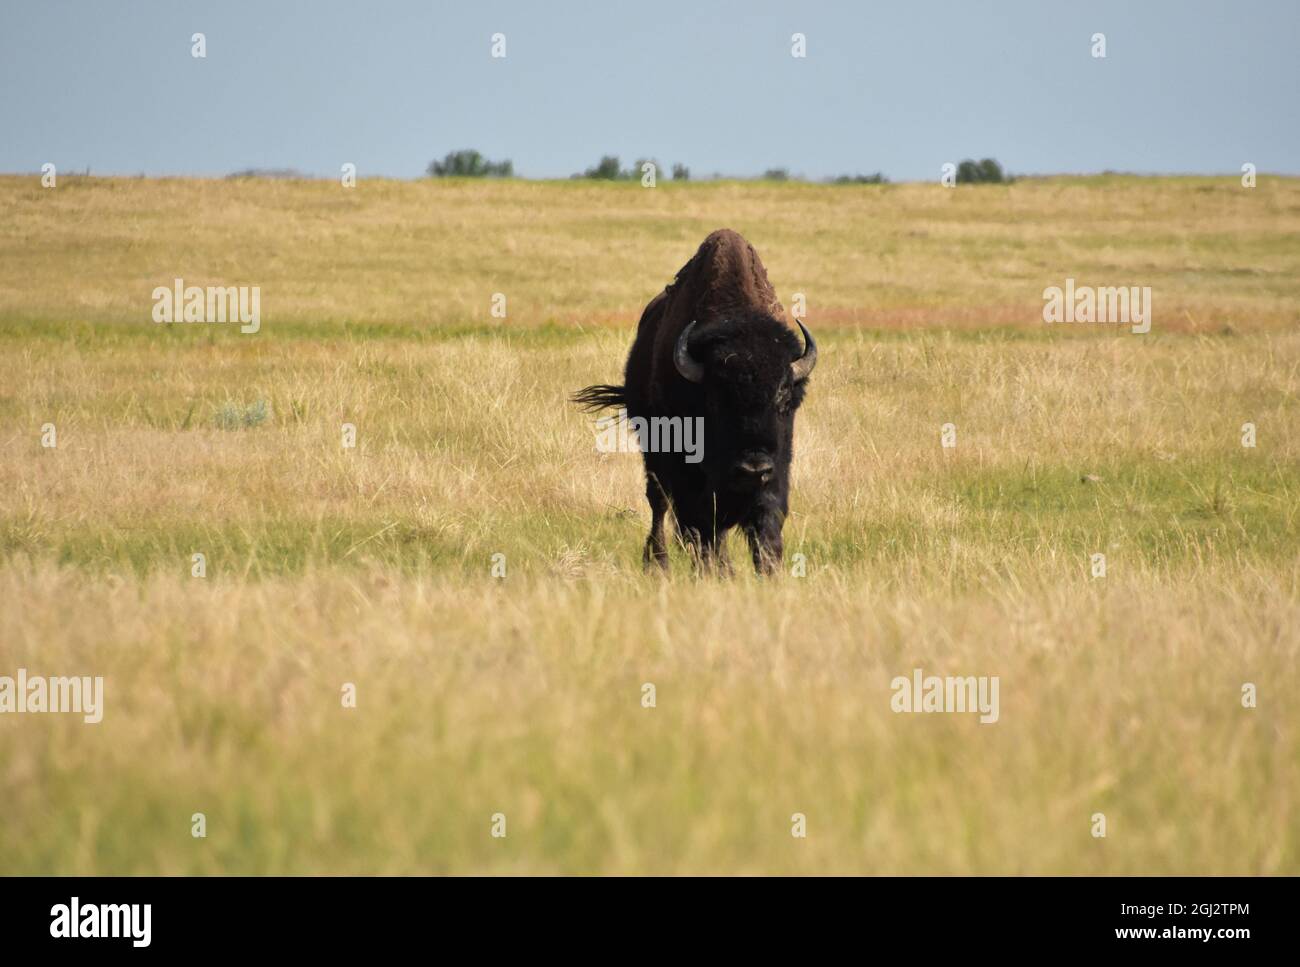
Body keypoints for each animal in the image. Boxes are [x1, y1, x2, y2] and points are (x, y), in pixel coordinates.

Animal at [574, 229, 817, 574]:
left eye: (783, 397)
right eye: (714, 401)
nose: (753, 468)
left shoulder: (776, 470)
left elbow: (765, 523)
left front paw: (768, 571)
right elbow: (698, 523)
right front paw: (713, 570)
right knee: (659, 502)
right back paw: (658, 563)